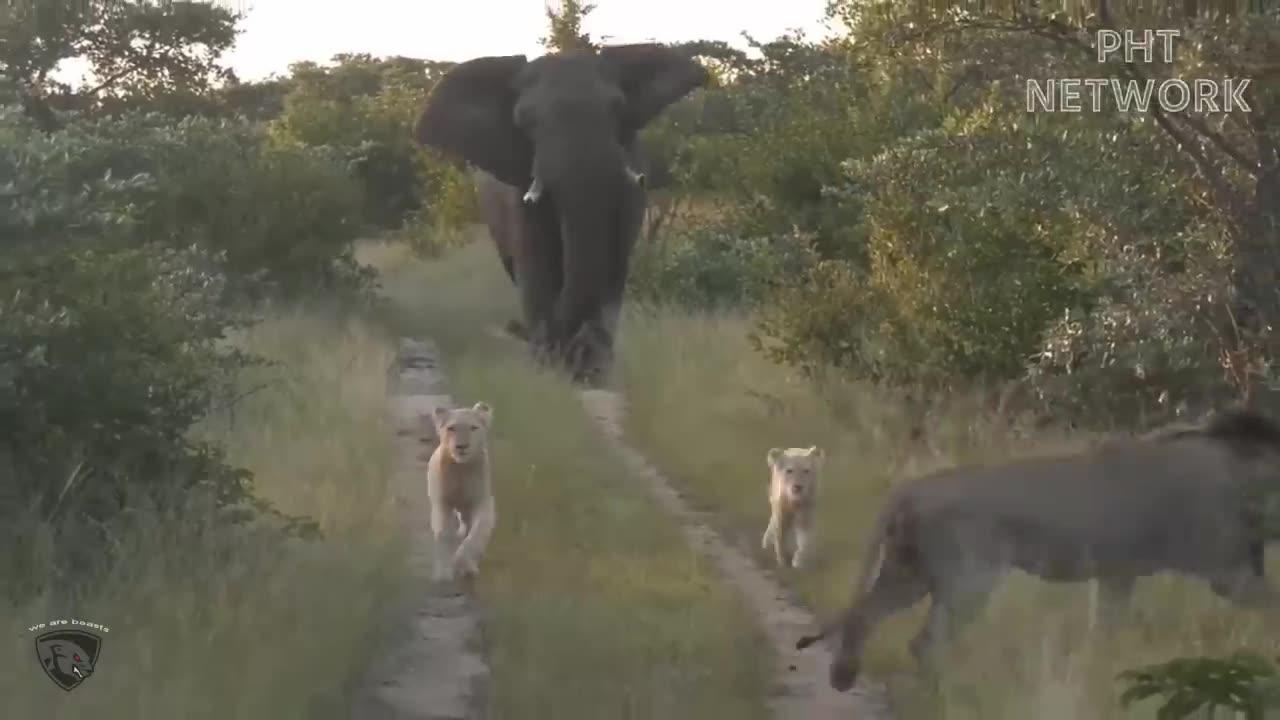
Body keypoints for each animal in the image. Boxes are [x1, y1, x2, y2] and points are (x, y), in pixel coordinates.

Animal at [413, 44, 709, 383]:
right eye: (525, 121)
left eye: (618, 108)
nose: (515, 329)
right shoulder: (519, 191)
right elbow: (537, 265)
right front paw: (549, 368)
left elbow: (614, 267)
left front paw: (592, 369)